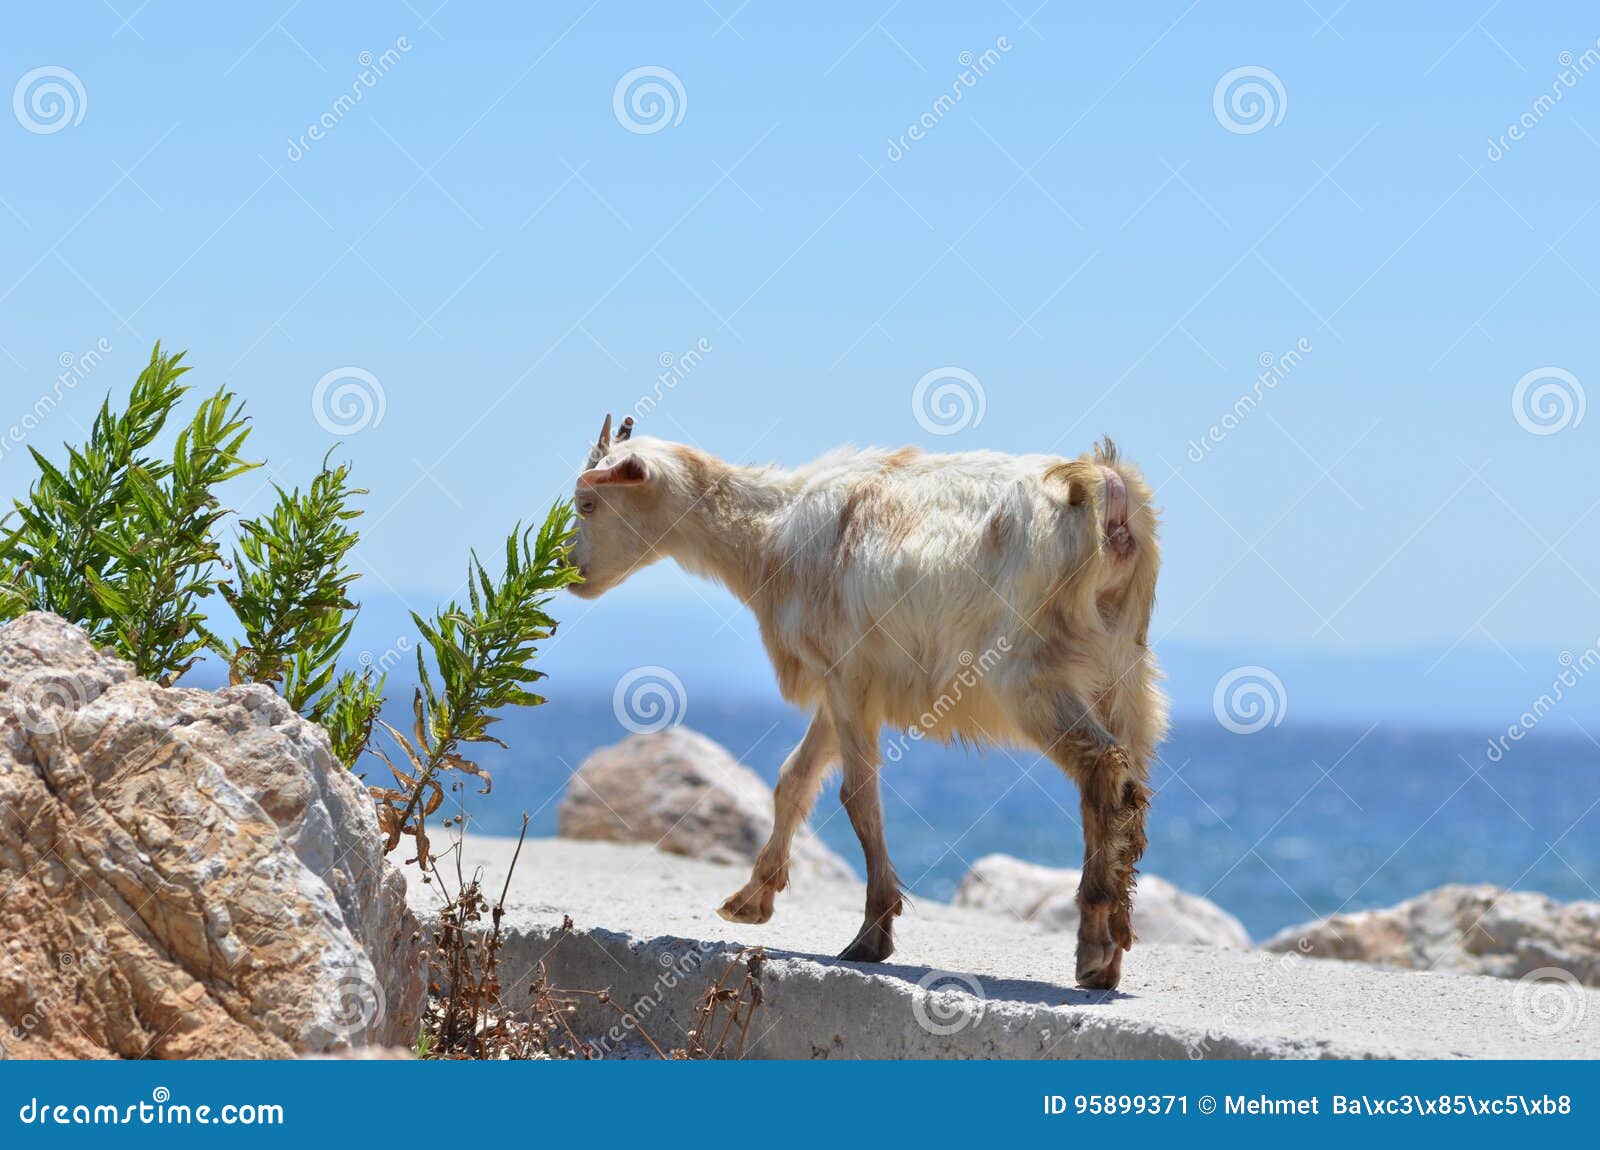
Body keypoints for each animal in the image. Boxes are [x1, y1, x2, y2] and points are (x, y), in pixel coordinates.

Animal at [568, 414, 1166, 989]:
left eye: (587, 503)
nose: (572, 575)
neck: (769, 535)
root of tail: (1103, 488)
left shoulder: (848, 672)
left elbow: (857, 794)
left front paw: (871, 934)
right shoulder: (840, 685)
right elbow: (794, 778)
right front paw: (752, 899)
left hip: (1026, 675)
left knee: (1101, 767)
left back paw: (1093, 946)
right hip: (1123, 675)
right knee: (1125, 784)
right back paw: (1113, 943)